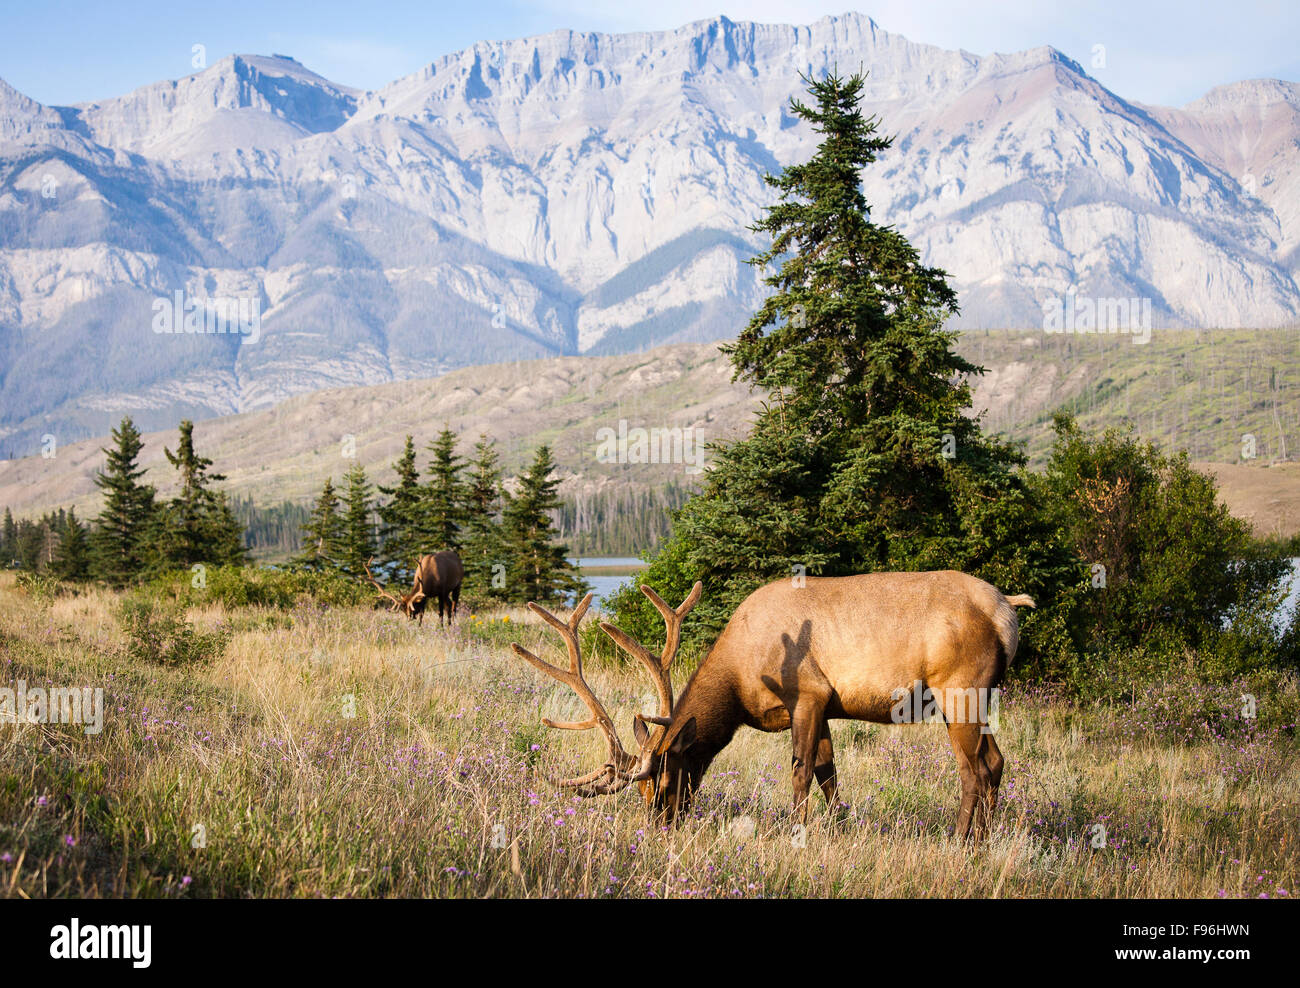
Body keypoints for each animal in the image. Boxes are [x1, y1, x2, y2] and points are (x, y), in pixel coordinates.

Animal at [510, 571, 1035, 842]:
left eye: (662, 782)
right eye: (640, 792)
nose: (657, 830)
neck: (739, 685)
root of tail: (1007, 610)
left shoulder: (808, 692)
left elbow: (800, 770)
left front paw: (798, 834)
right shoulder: (825, 707)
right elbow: (827, 772)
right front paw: (838, 830)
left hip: (959, 687)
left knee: (972, 768)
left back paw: (961, 840)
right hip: (980, 695)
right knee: (996, 761)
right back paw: (984, 840)